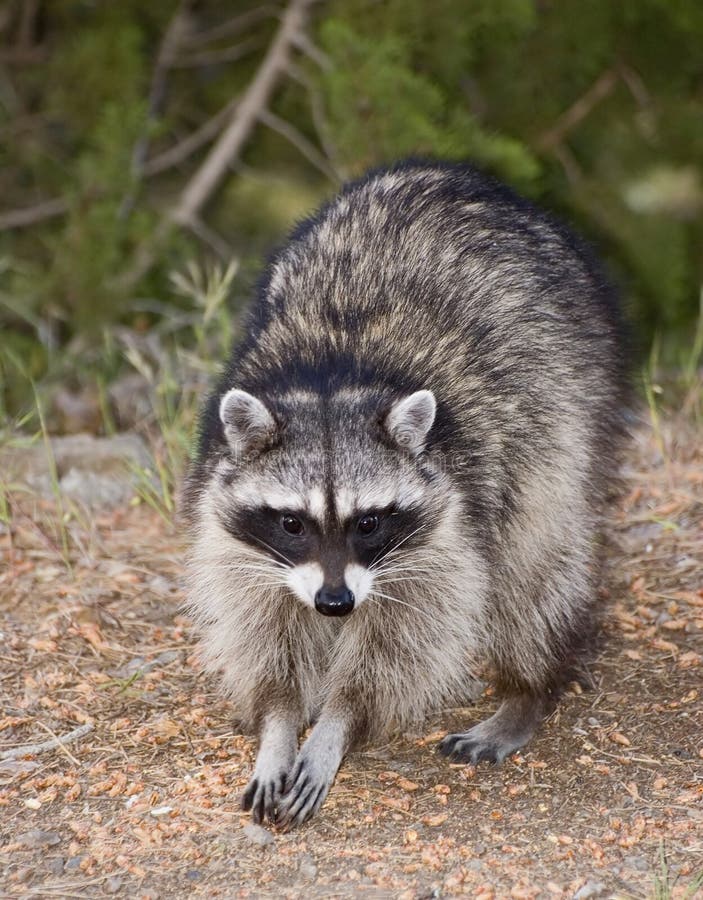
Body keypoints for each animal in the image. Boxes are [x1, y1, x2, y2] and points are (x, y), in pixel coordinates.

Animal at [183, 161, 627, 828]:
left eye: (368, 522)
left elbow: (402, 640)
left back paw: (528, 687)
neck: (331, 380)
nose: (335, 604)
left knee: (532, 566)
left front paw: (336, 724)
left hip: (568, 401)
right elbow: (263, 628)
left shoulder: (449, 521)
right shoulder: (239, 539)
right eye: (293, 523)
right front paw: (279, 723)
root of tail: (456, 174)